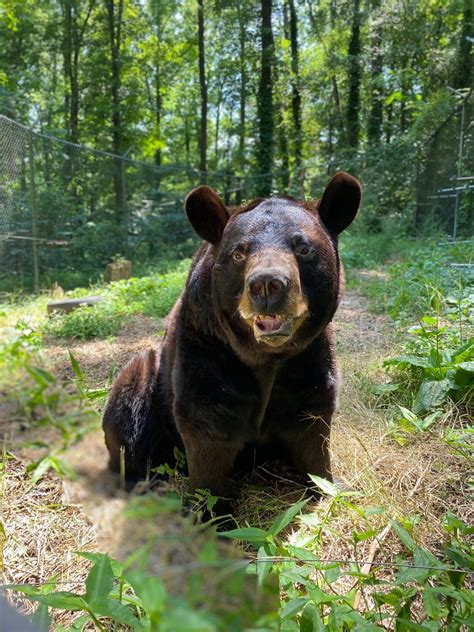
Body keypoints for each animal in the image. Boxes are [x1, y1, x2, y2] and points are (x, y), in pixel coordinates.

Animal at [103, 172, 362, 512]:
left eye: (303, 248)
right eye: (240, 252)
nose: (267, 284)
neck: (265, 357)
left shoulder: (310, 354)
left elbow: (312, 420)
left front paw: (326, 485)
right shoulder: (207, 348)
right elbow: (207, 424)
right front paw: (211, 510)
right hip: (146, 381)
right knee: (127, 415)